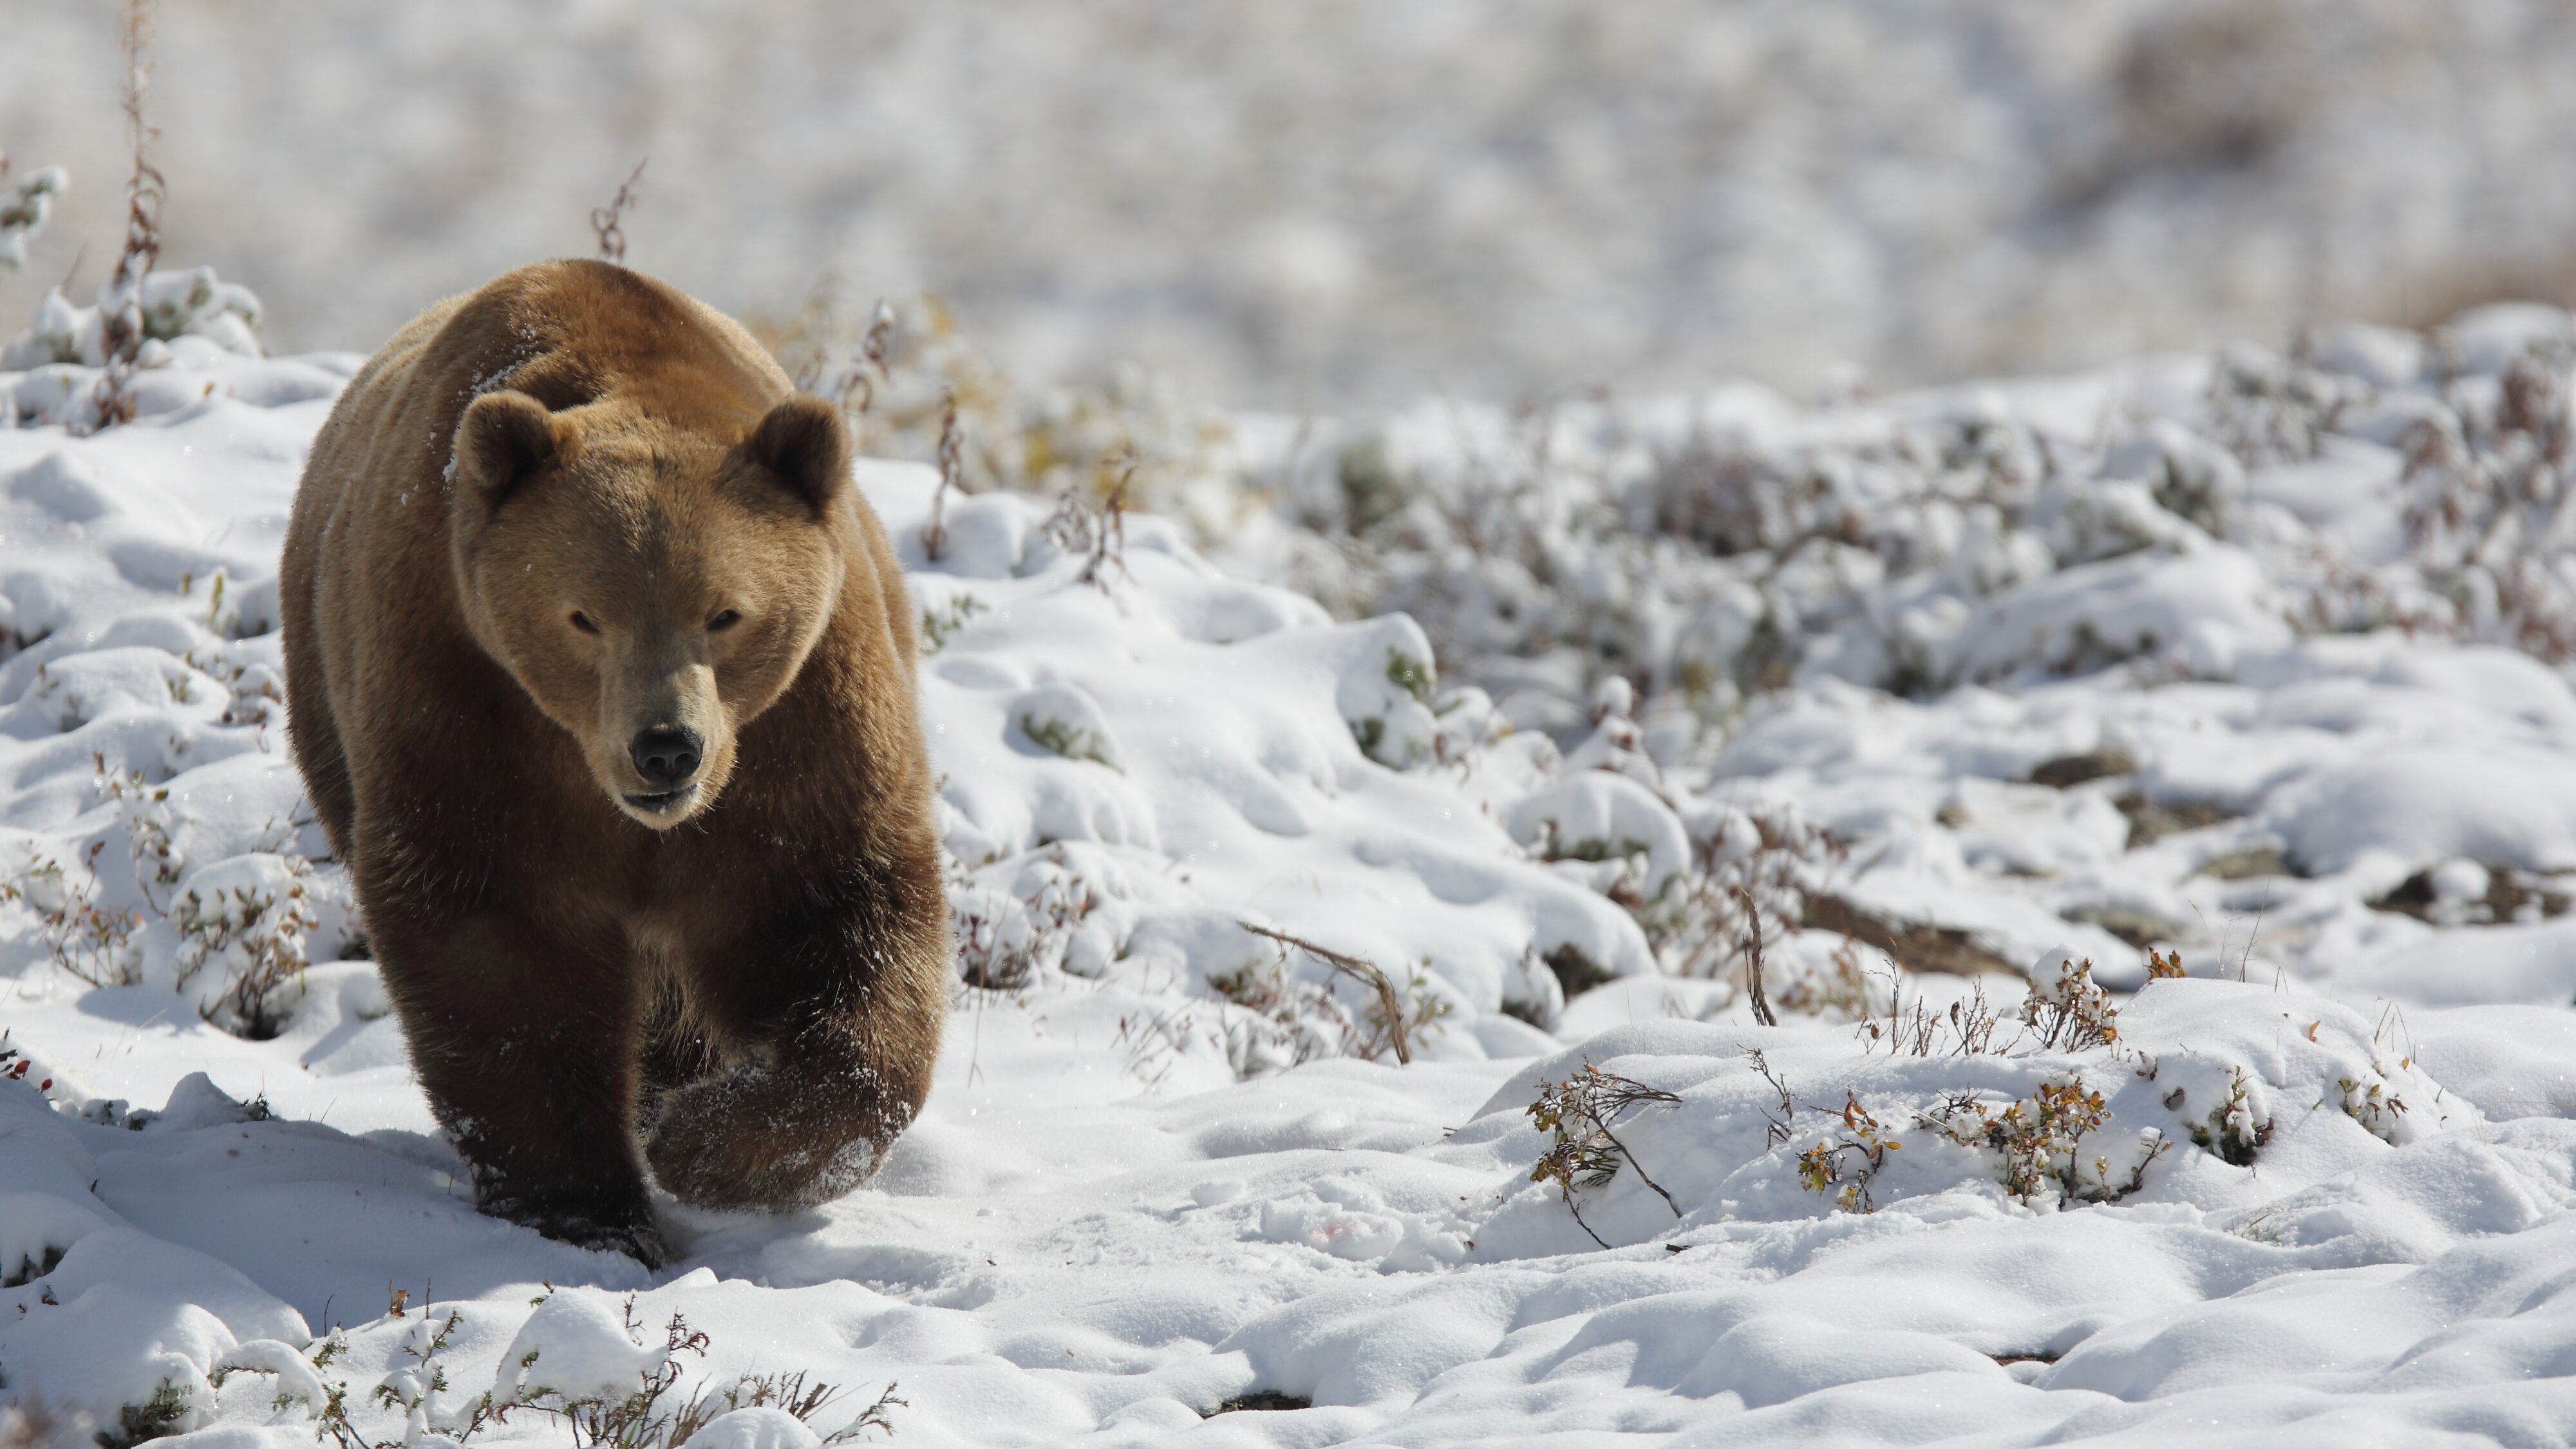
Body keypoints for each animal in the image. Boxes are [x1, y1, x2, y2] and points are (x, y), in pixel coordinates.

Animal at [280, 259, 950, 1265]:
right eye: (584, 616)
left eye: (727, 611)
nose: (665, 747)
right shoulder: (467, 702)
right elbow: (503, 951)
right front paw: (590, 1207)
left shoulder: (800, 735)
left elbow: (834, 919)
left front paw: (704, 1142)